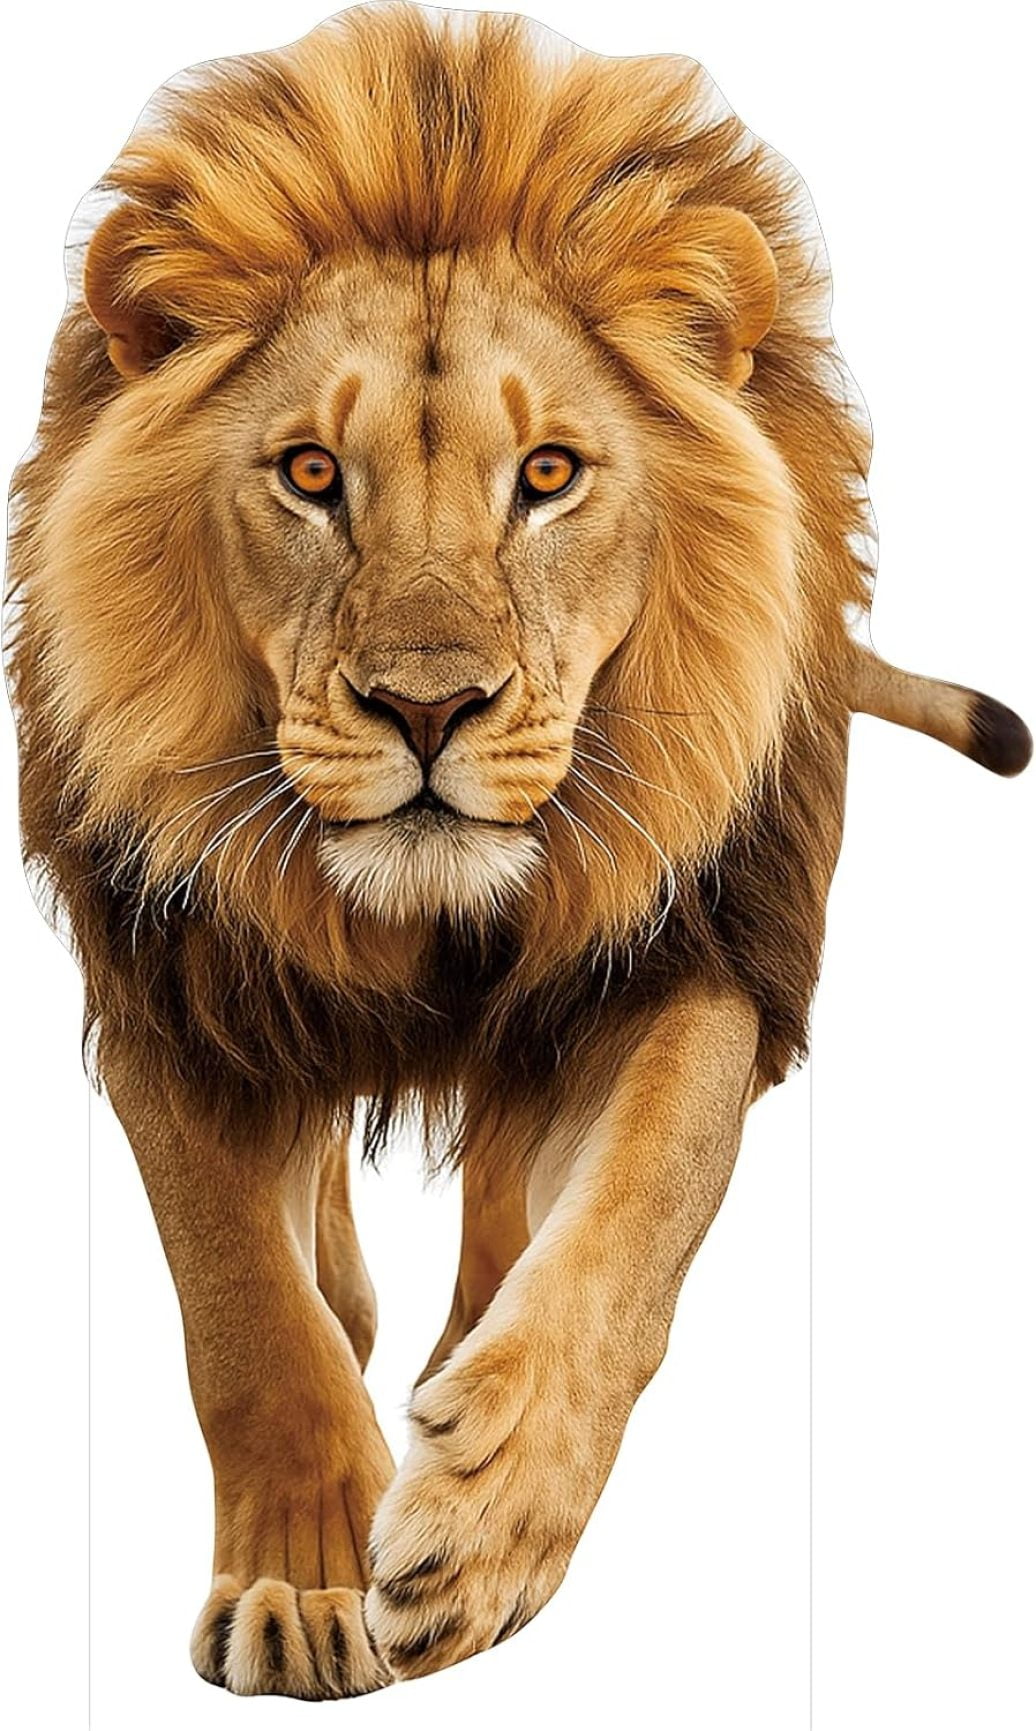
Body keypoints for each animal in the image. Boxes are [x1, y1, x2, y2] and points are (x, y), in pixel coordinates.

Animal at [5, 0, 1030, 1701]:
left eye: (547, 475)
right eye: (309, 474)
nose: (429, 707)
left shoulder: (693, 955)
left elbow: (630, 1227)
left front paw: (479, 1526)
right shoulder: (175, 972)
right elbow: (243, 1305)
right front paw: (301, 1579)